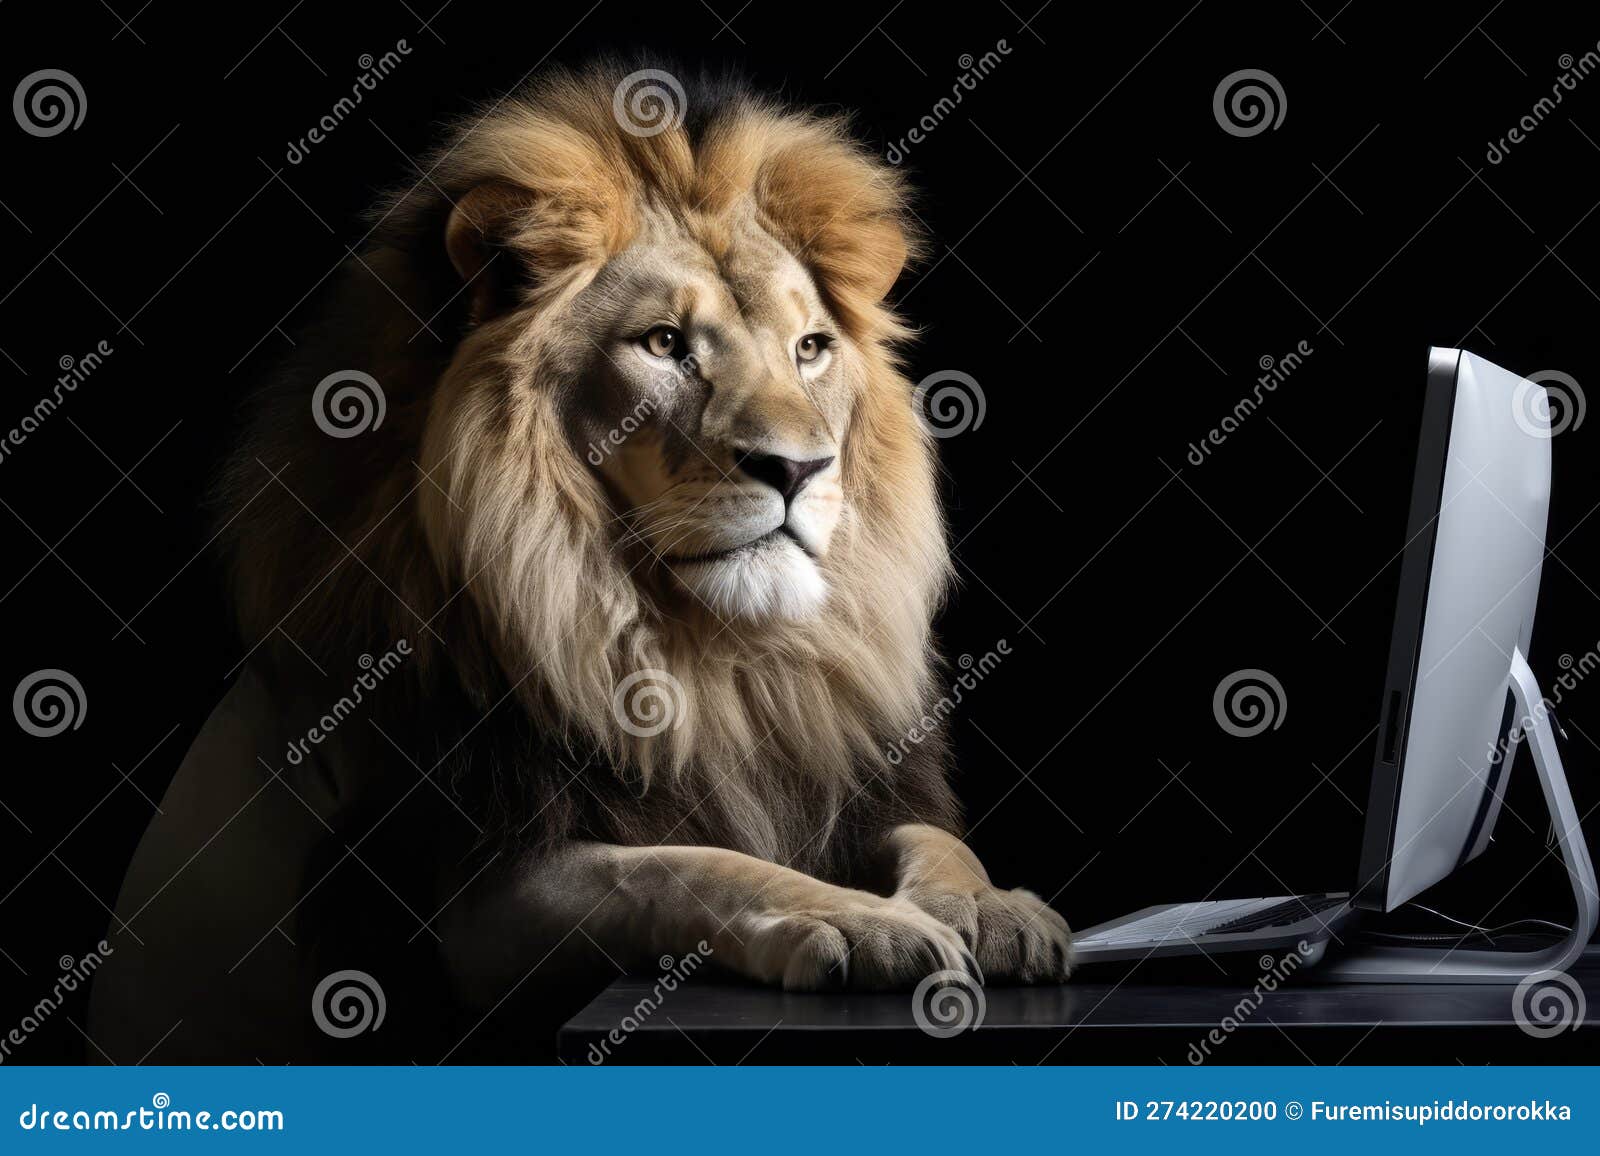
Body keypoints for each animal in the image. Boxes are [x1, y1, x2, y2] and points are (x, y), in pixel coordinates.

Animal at [89, 62, 1071, 1063]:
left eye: (811, 349)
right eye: (665, 345)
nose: (800, 469)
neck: (715, 661)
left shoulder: (843, 776)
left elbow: (935, 840)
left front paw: (989, 906)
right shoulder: (466, 903)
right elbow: (690, 867)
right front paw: (856, 920)